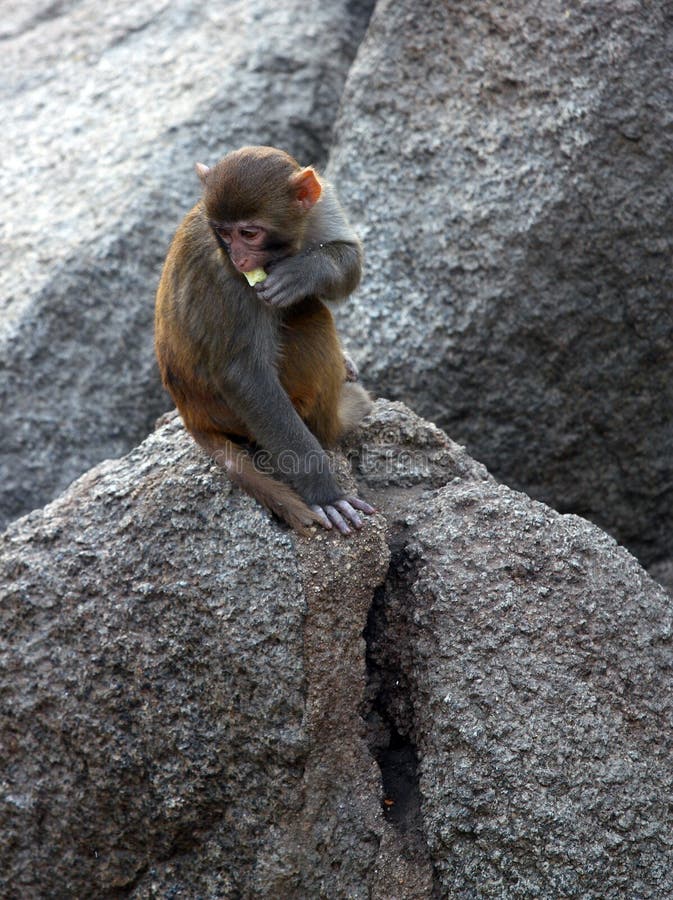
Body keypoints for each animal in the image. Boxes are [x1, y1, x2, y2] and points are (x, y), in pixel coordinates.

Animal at [155, 145, 375, 536]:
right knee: (312, 314)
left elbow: (350, 256)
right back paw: (342, 416)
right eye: (223, 234)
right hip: (240, 413)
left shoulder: (321, 205)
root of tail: (190, 412)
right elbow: (245, 377)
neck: (287, 246)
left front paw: (305, 272)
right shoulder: (232, 282)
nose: (239, 258)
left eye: (249, 232)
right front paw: (324, 491)